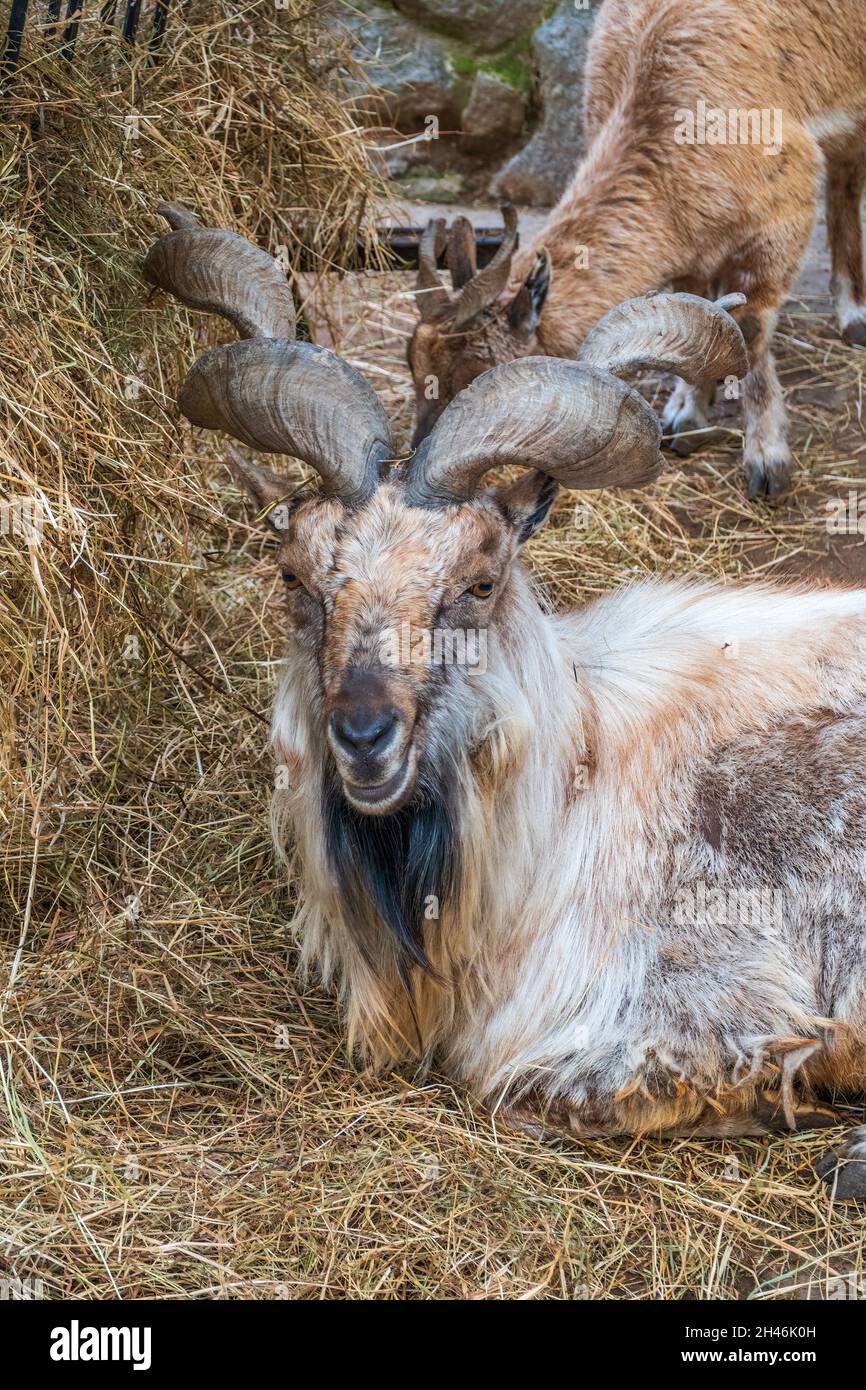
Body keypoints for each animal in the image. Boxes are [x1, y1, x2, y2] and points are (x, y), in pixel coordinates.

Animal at [144, 204, 866, 1200]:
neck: (572, 791)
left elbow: (520, 1092)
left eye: (480, 583)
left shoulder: (704, 994)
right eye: (294, 576)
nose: (364, 735)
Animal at [408, 0, 866, 499]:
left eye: (478, 374)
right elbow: (703, 313)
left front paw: (767, 461)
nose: (418, 459)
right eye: (414, 367)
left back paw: (853, 315)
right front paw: (687, 417)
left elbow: (749, 328)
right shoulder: (693, 248)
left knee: (846, 177)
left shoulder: (781, 214)